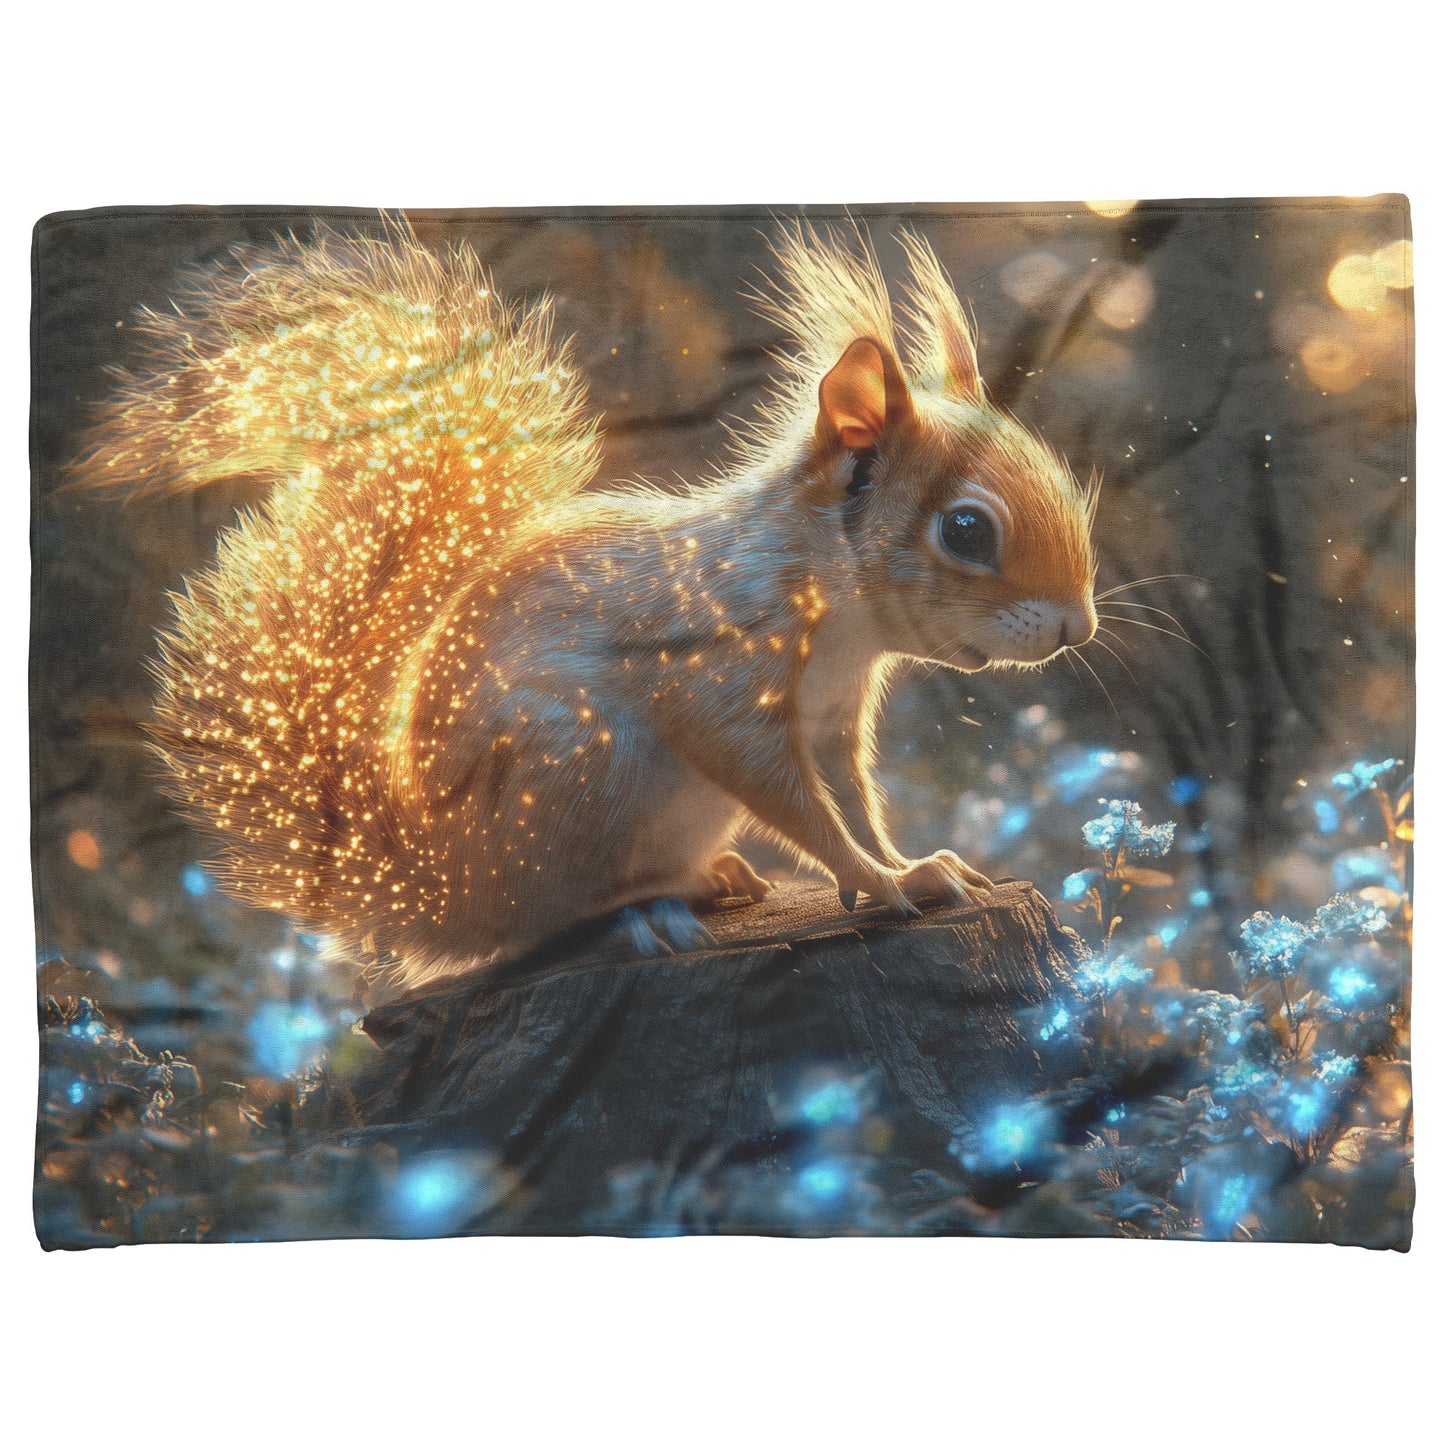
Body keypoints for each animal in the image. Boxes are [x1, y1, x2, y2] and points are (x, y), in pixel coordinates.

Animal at [72, 218, 1099, 988]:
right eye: (965, 530)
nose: (1077, 626)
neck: (833, 606)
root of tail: (430, 890)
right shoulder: (724, 678)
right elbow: (794, 801)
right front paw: (875, 881)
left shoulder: (838, 716)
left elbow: (850, 793)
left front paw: (913, 861)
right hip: (572, 770)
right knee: (539, 926)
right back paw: (644, 919)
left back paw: (711, 879)